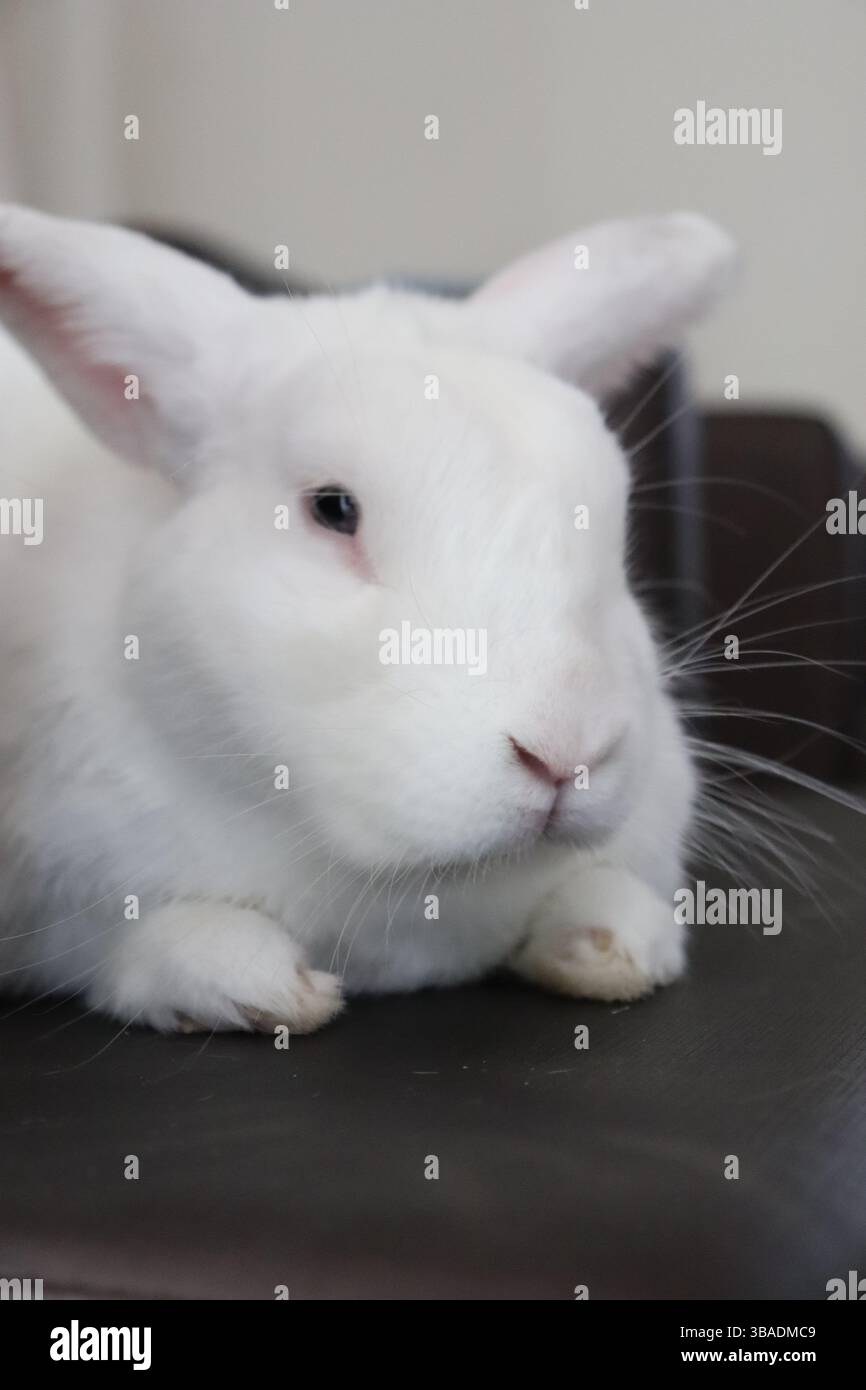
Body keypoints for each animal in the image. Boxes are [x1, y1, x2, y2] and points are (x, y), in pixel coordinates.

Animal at [0, 204, 735, 1034]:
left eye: (611, 521)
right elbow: (156, 943)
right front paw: (267, 986)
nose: (566, 756)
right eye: (333, 509)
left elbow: (611, 895)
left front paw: (610, 948)